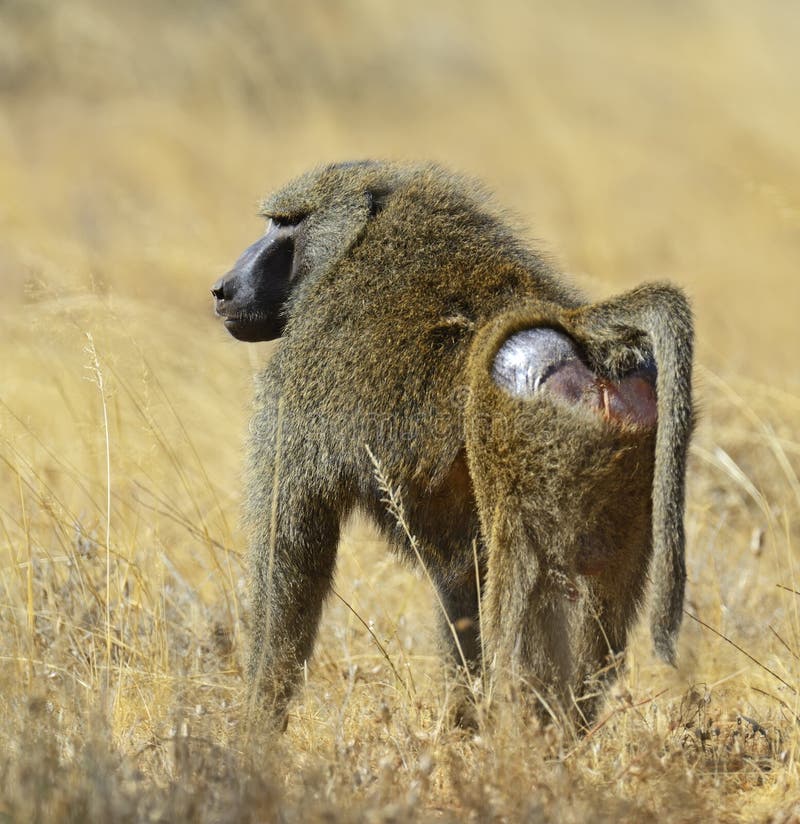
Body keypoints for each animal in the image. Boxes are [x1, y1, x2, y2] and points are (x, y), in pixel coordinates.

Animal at [210, 161, 693, 728]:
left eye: (287, 223)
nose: (222, 289)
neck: (353, 247)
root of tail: (581, 332)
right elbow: (463, 582)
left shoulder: (296, 386)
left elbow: (287, 559)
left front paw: (253, 730)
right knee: (592, 612)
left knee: (526, 593)